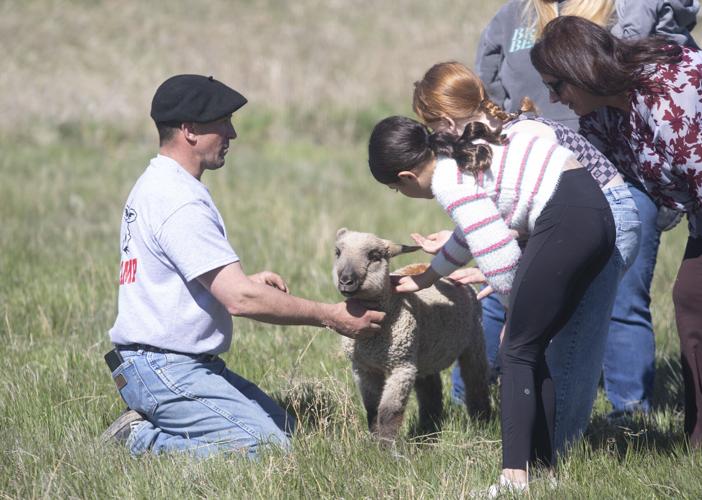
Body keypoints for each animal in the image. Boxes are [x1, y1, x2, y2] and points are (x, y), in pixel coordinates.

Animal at [333, 228, 491, 443]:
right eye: (338, 253)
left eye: (374, 256)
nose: (346, 281)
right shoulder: (363, 368)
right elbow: (372, 409)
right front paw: (374, 441)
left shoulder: (401, 366)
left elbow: (389, 411)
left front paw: (386, 446)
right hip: (425, 353)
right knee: (430, 389)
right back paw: (428, 428)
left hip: (474, 340)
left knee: (476, 381)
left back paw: (481, 421)